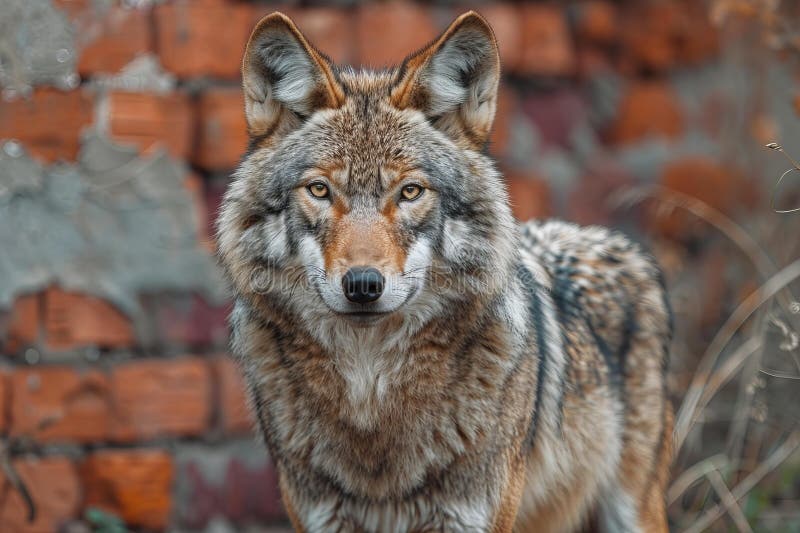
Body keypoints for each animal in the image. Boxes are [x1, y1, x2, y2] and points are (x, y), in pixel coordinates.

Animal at [217, 11, 673, 532]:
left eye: (411, 192)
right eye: (319, 190)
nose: (363, 286)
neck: (370, 391)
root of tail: (615, 242)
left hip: (633, 508)